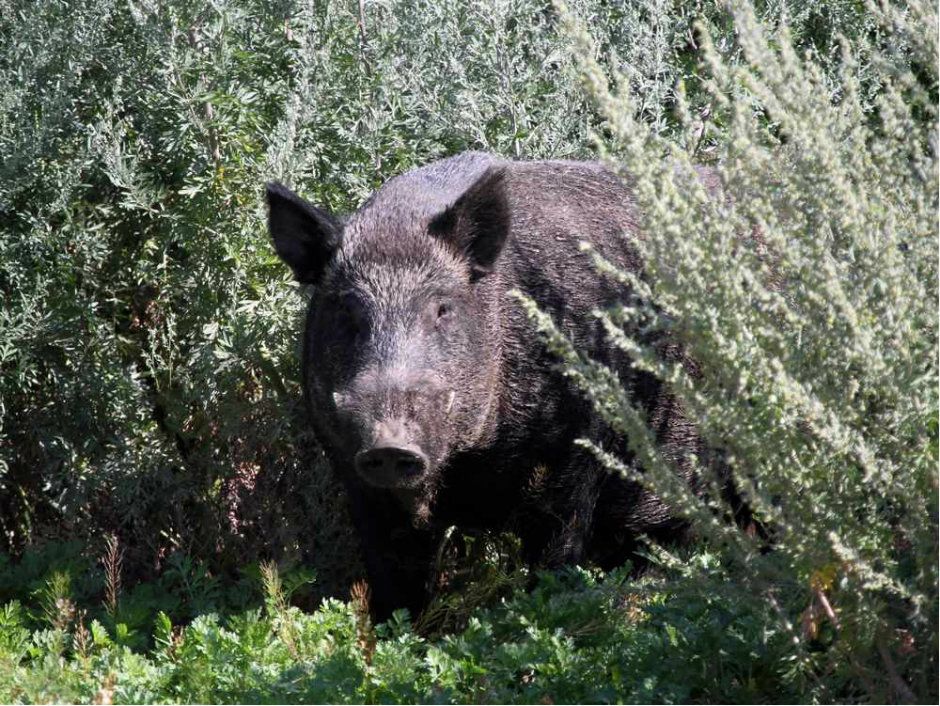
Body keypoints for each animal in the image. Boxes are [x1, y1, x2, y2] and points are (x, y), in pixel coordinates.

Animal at [266, 152, 699, 621]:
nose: (391, 444)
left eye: (442, 309)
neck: (468, 468)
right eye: (347, 312)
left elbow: (555, 556)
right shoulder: (353, 471)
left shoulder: (577, 448)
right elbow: (395, 580)